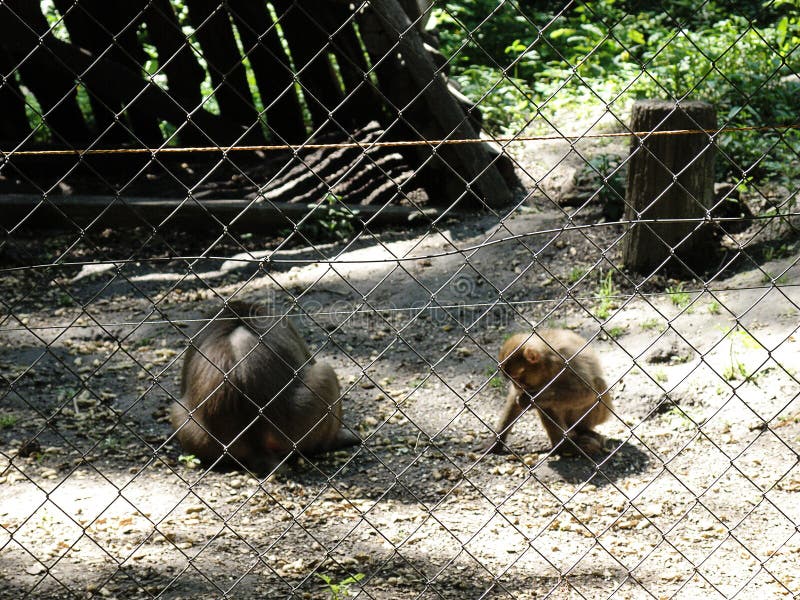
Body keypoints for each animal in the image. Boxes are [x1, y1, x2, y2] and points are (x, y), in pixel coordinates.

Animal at [483, 329, 613, 457]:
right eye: (512, 379)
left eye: (516, 378)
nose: (516, 386)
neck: (546, 363)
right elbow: (514, 399)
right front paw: (496, 441)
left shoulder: (565, 361)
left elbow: (586, 392)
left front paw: (528, 400)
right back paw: (565, 445)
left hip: (597, 415)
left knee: (597, 384)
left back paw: (568, 444)